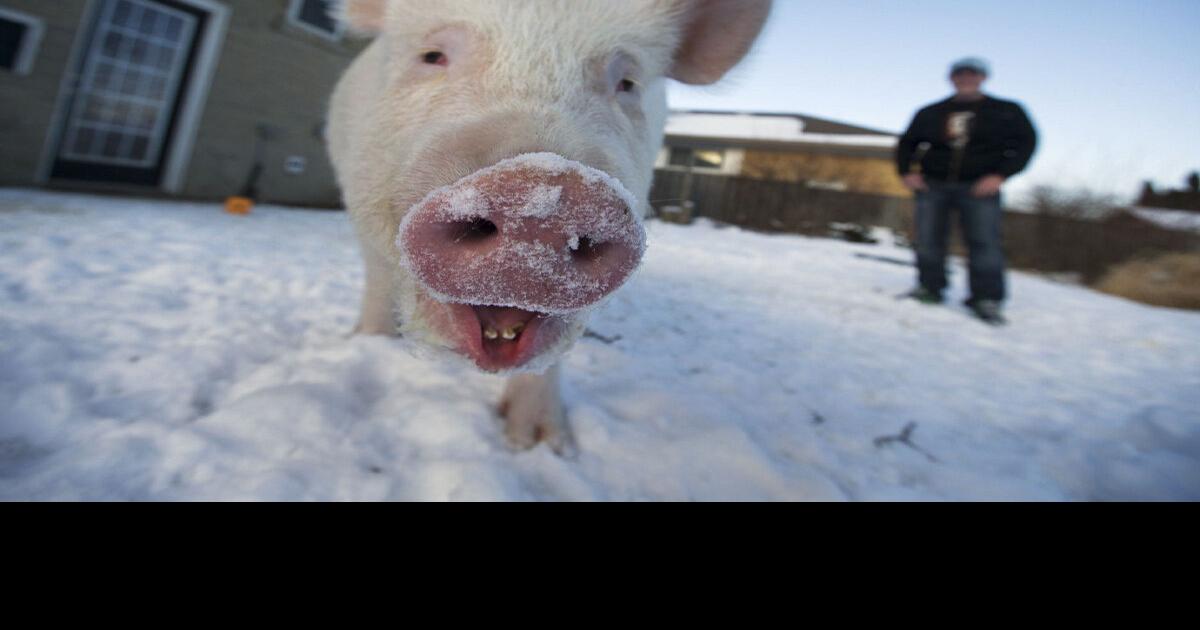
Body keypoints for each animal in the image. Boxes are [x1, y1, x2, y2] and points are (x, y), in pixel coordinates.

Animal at [326, 0, 771, 454]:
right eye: (432, 56)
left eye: (627, 83)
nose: (541, 198)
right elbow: (378, 278)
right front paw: (368, 345)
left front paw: (541, 446)